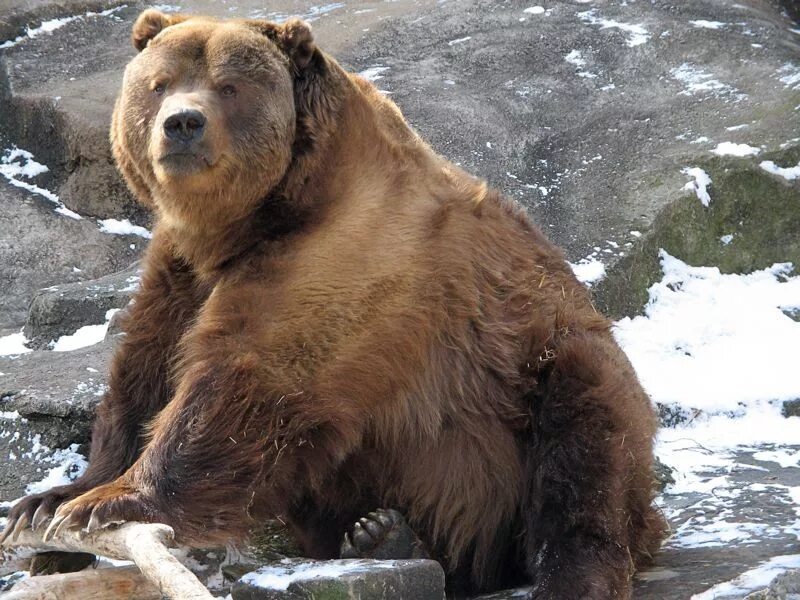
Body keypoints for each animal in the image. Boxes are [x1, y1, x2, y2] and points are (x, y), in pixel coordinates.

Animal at [3, 10, 664, 600]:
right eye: (158, 82)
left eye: (229, 86)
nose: (182, 124)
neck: (247, 224)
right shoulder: (181, 273)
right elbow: (146, 369)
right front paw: (49, 502)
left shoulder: (346, 255)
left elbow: (247, 383)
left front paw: (108, 503)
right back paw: (376, 532)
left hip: (533, 378)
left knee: (586, 446)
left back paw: (564, 571)